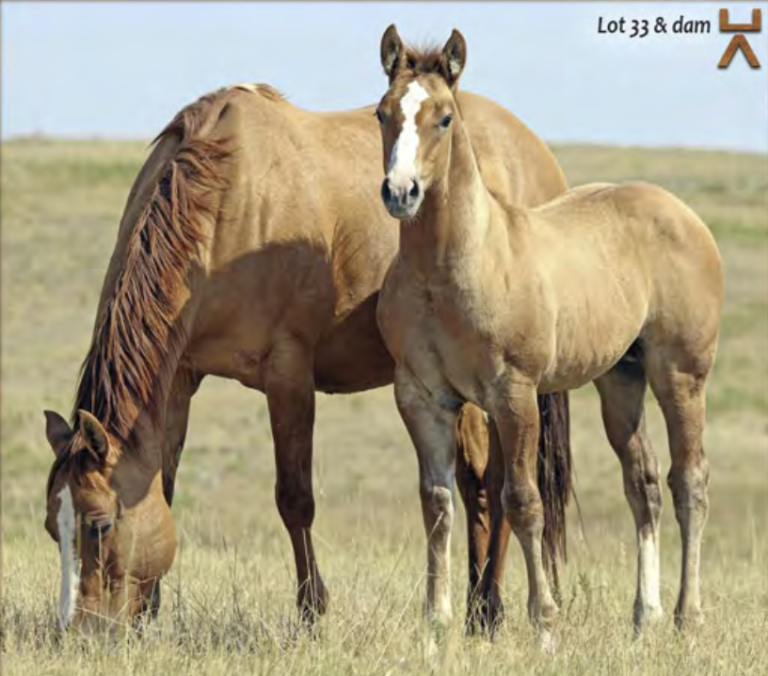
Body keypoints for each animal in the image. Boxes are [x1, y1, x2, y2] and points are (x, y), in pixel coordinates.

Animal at [42, 25, 573, 634]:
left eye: (99, 524)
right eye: (50, 525)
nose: (81, 630)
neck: (224, 207)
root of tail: (536, 153)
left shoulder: (288, 373)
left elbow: (294, 497)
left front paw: (311, 611)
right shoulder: (178, 377)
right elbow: (164, 485)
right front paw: (152, 613)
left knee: (493, 482)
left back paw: (487, 609)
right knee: (479, 483)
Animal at [373, 28, 724, 648]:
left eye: (444, 117)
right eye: (382, 113)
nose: (401, 192)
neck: (450, 268)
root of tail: (683, 214)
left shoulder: (514, 395)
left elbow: (522, 500)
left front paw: (545, 623)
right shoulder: (422, 397)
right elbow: (436, 504)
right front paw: (435, 624)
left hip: (681, 374)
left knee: (690, 481)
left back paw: (689, 616)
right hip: (621, 380)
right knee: (644, 483)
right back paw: (646, 615)